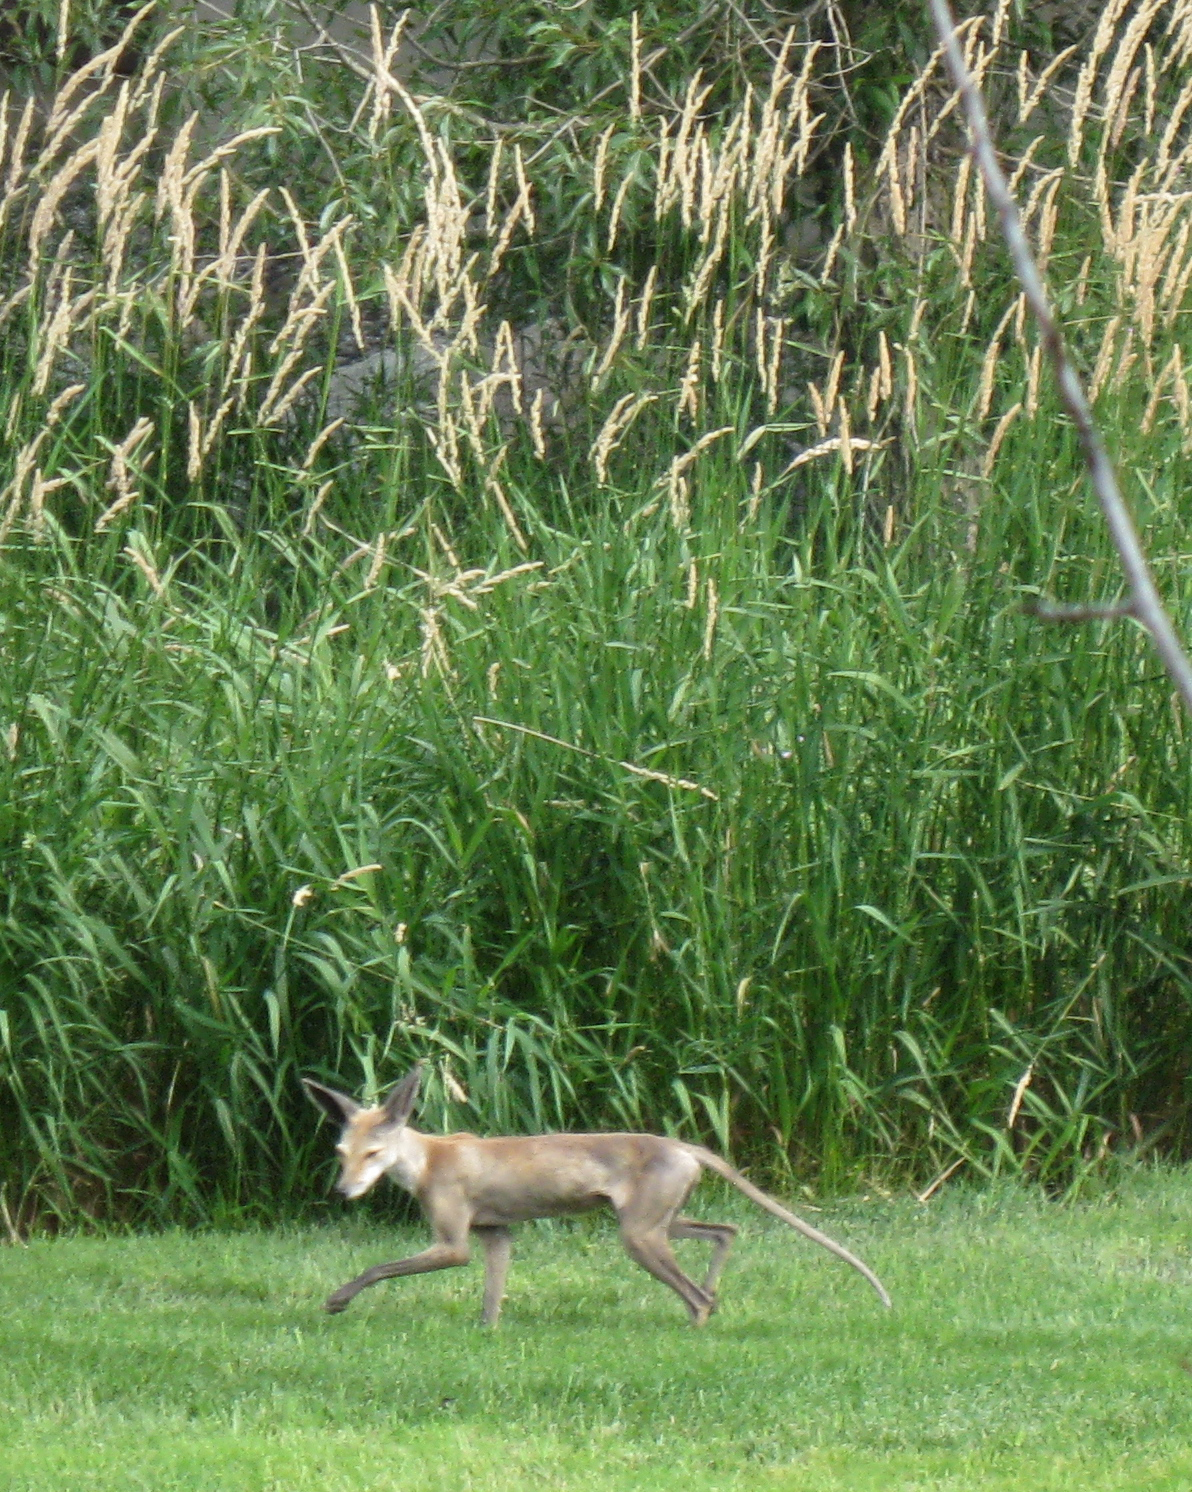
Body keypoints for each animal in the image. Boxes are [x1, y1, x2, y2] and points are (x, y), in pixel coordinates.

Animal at [303, 1062, 891, 1325]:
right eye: (341, 1152)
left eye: (373, 1154)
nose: (343, 1190)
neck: (428, 1161)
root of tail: (682, 1143)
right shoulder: (497, 1235)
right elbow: (492, 1298)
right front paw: (486, 1336)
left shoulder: (454, 1244)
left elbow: (378, 1268)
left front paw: (338, 1300)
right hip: (656, 1224)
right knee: (727, 1231)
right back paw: (713, 1296)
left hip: (639, 1237)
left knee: (698, 1294)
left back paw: (697, 1327)